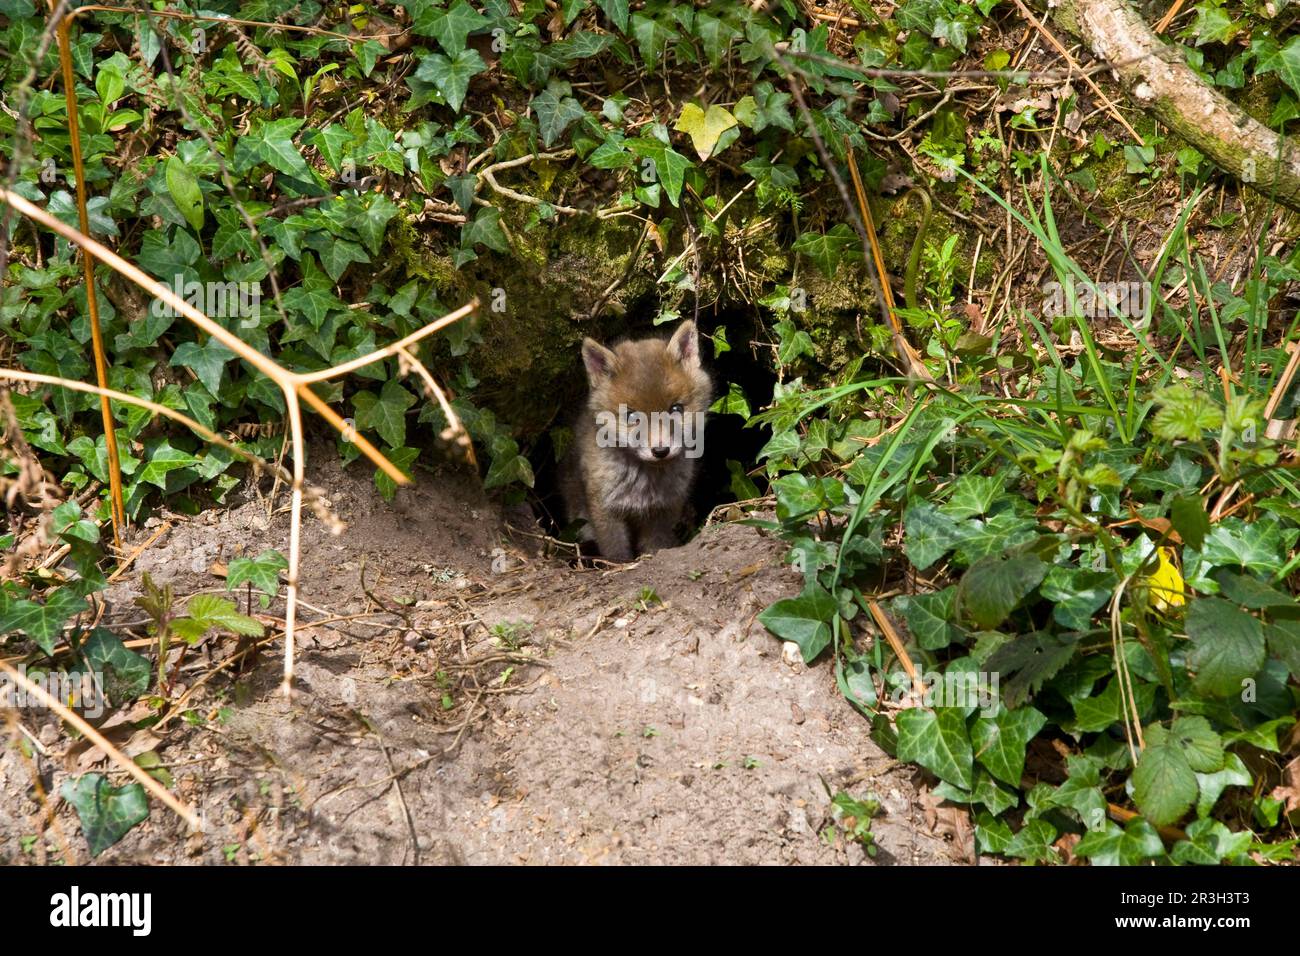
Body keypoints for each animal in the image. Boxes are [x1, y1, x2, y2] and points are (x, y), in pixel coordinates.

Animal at [560, 320, 713, 562]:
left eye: (675, 409)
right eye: (632, 416)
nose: (660, 450)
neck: (644, 486)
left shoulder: (665, 510)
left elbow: (657, 546)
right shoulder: (604, 508)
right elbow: (616, 551)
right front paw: (620, 566)